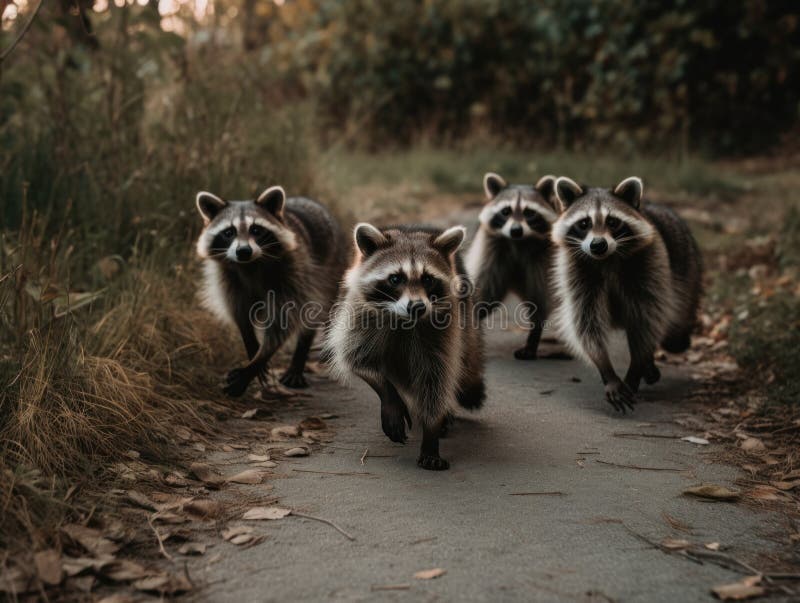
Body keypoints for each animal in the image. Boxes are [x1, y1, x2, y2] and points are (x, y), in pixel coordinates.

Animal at [195, 186, 348, 396]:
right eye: (228, 232)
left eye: (256, 230)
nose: (243, 251)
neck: (250, 265)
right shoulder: (228, 279)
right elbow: (240, 313)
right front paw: (252, 346)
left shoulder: (294, 273)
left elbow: (283, 321)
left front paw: (254, 365)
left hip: (329, 272)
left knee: (313, 312)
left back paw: (300, 356)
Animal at [323, 224, 485, 470]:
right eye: (395, 278)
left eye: (428, 279)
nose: (417, 307)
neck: (403, 319)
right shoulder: (358, 316)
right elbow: (357, 360)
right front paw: (390, 397)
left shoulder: (441, 330)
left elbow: (435, 378)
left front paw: (431, 432)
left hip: (465, 323)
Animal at [465, 172, 559, 359]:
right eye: (505, 211)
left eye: (529, 213)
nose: (516, 230)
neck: (518, 242)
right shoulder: (491, 249)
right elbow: (484, 292)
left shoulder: (544, 255)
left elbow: (541, 297)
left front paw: (535, 333)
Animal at [550, 176, 702, 412]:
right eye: (584, 223)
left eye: (613, 222)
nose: (598, 245)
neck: (607, 259)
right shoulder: (577, 272)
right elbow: (586, 323)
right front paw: (606, 369)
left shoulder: (650, 265)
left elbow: (646, 319)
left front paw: (634, 370)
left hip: (688, 273)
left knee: (665, 321)